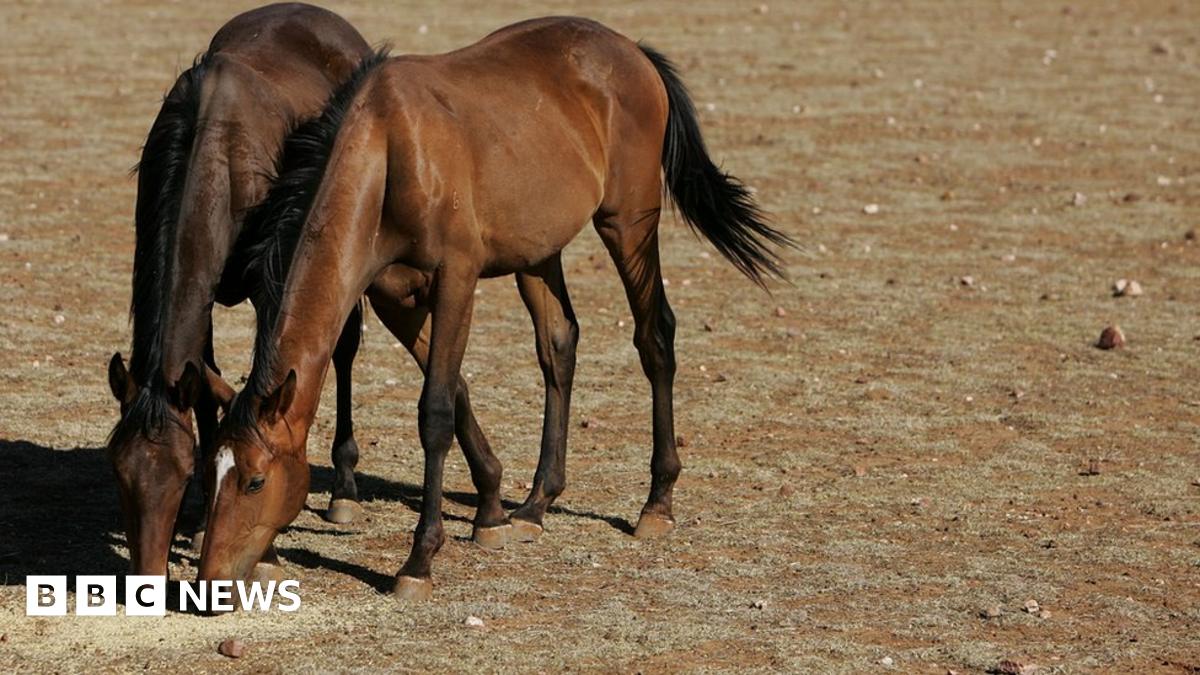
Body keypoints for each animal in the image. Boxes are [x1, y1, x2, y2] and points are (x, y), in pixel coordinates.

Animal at [106, 3, 505, 579]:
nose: (146, 579)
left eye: (178, 475)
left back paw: (345, 488)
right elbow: (205, 391)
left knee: (344, 354)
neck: (217, 150)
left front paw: (265, 549)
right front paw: (205, 521)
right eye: (119, 473)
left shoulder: (271, 285)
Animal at [197, 16, 794, 600]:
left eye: (254, 480)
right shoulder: (394, 296)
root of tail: (631, 49)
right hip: (540, 254)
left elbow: (435, 410)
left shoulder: (456, 280)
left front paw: (419, 561)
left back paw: (657, 502)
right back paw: (536, 504)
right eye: (212, 470)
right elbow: (457, 387)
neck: (390, 151)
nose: (211, 579)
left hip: (628, 222)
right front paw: (493, 513)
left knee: (655, 337)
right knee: (559, 345)